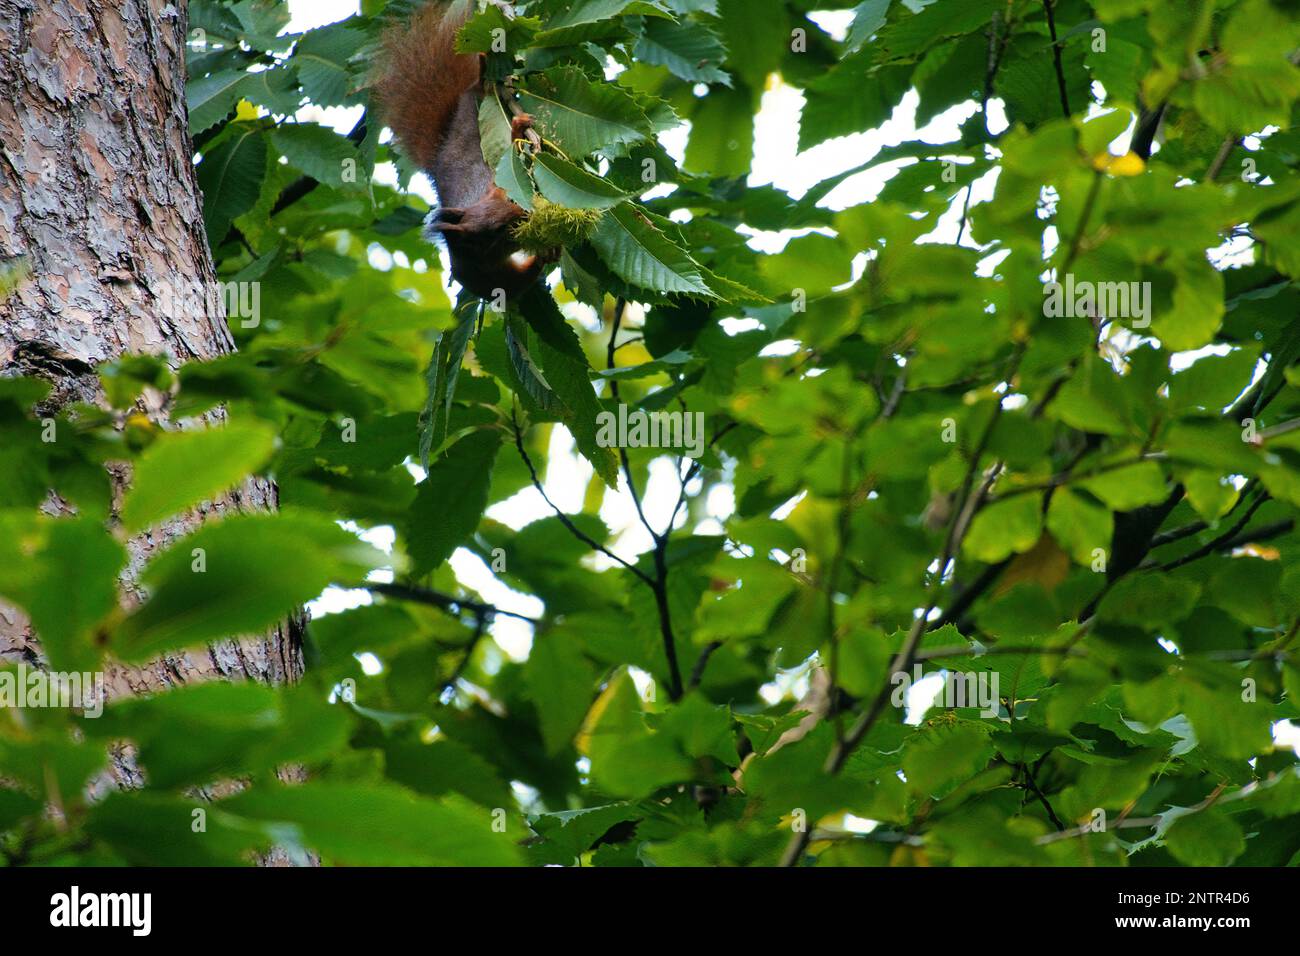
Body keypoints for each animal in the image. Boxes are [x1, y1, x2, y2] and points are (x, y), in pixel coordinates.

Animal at [375, 0, 541, 301]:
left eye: (511, 198)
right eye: (498, 232)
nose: (527, 215)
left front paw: (517, 131)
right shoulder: (475, 274)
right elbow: (512, 288)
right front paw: (547, 255)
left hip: (475, 101)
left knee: (480, 86)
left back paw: (488, 66)